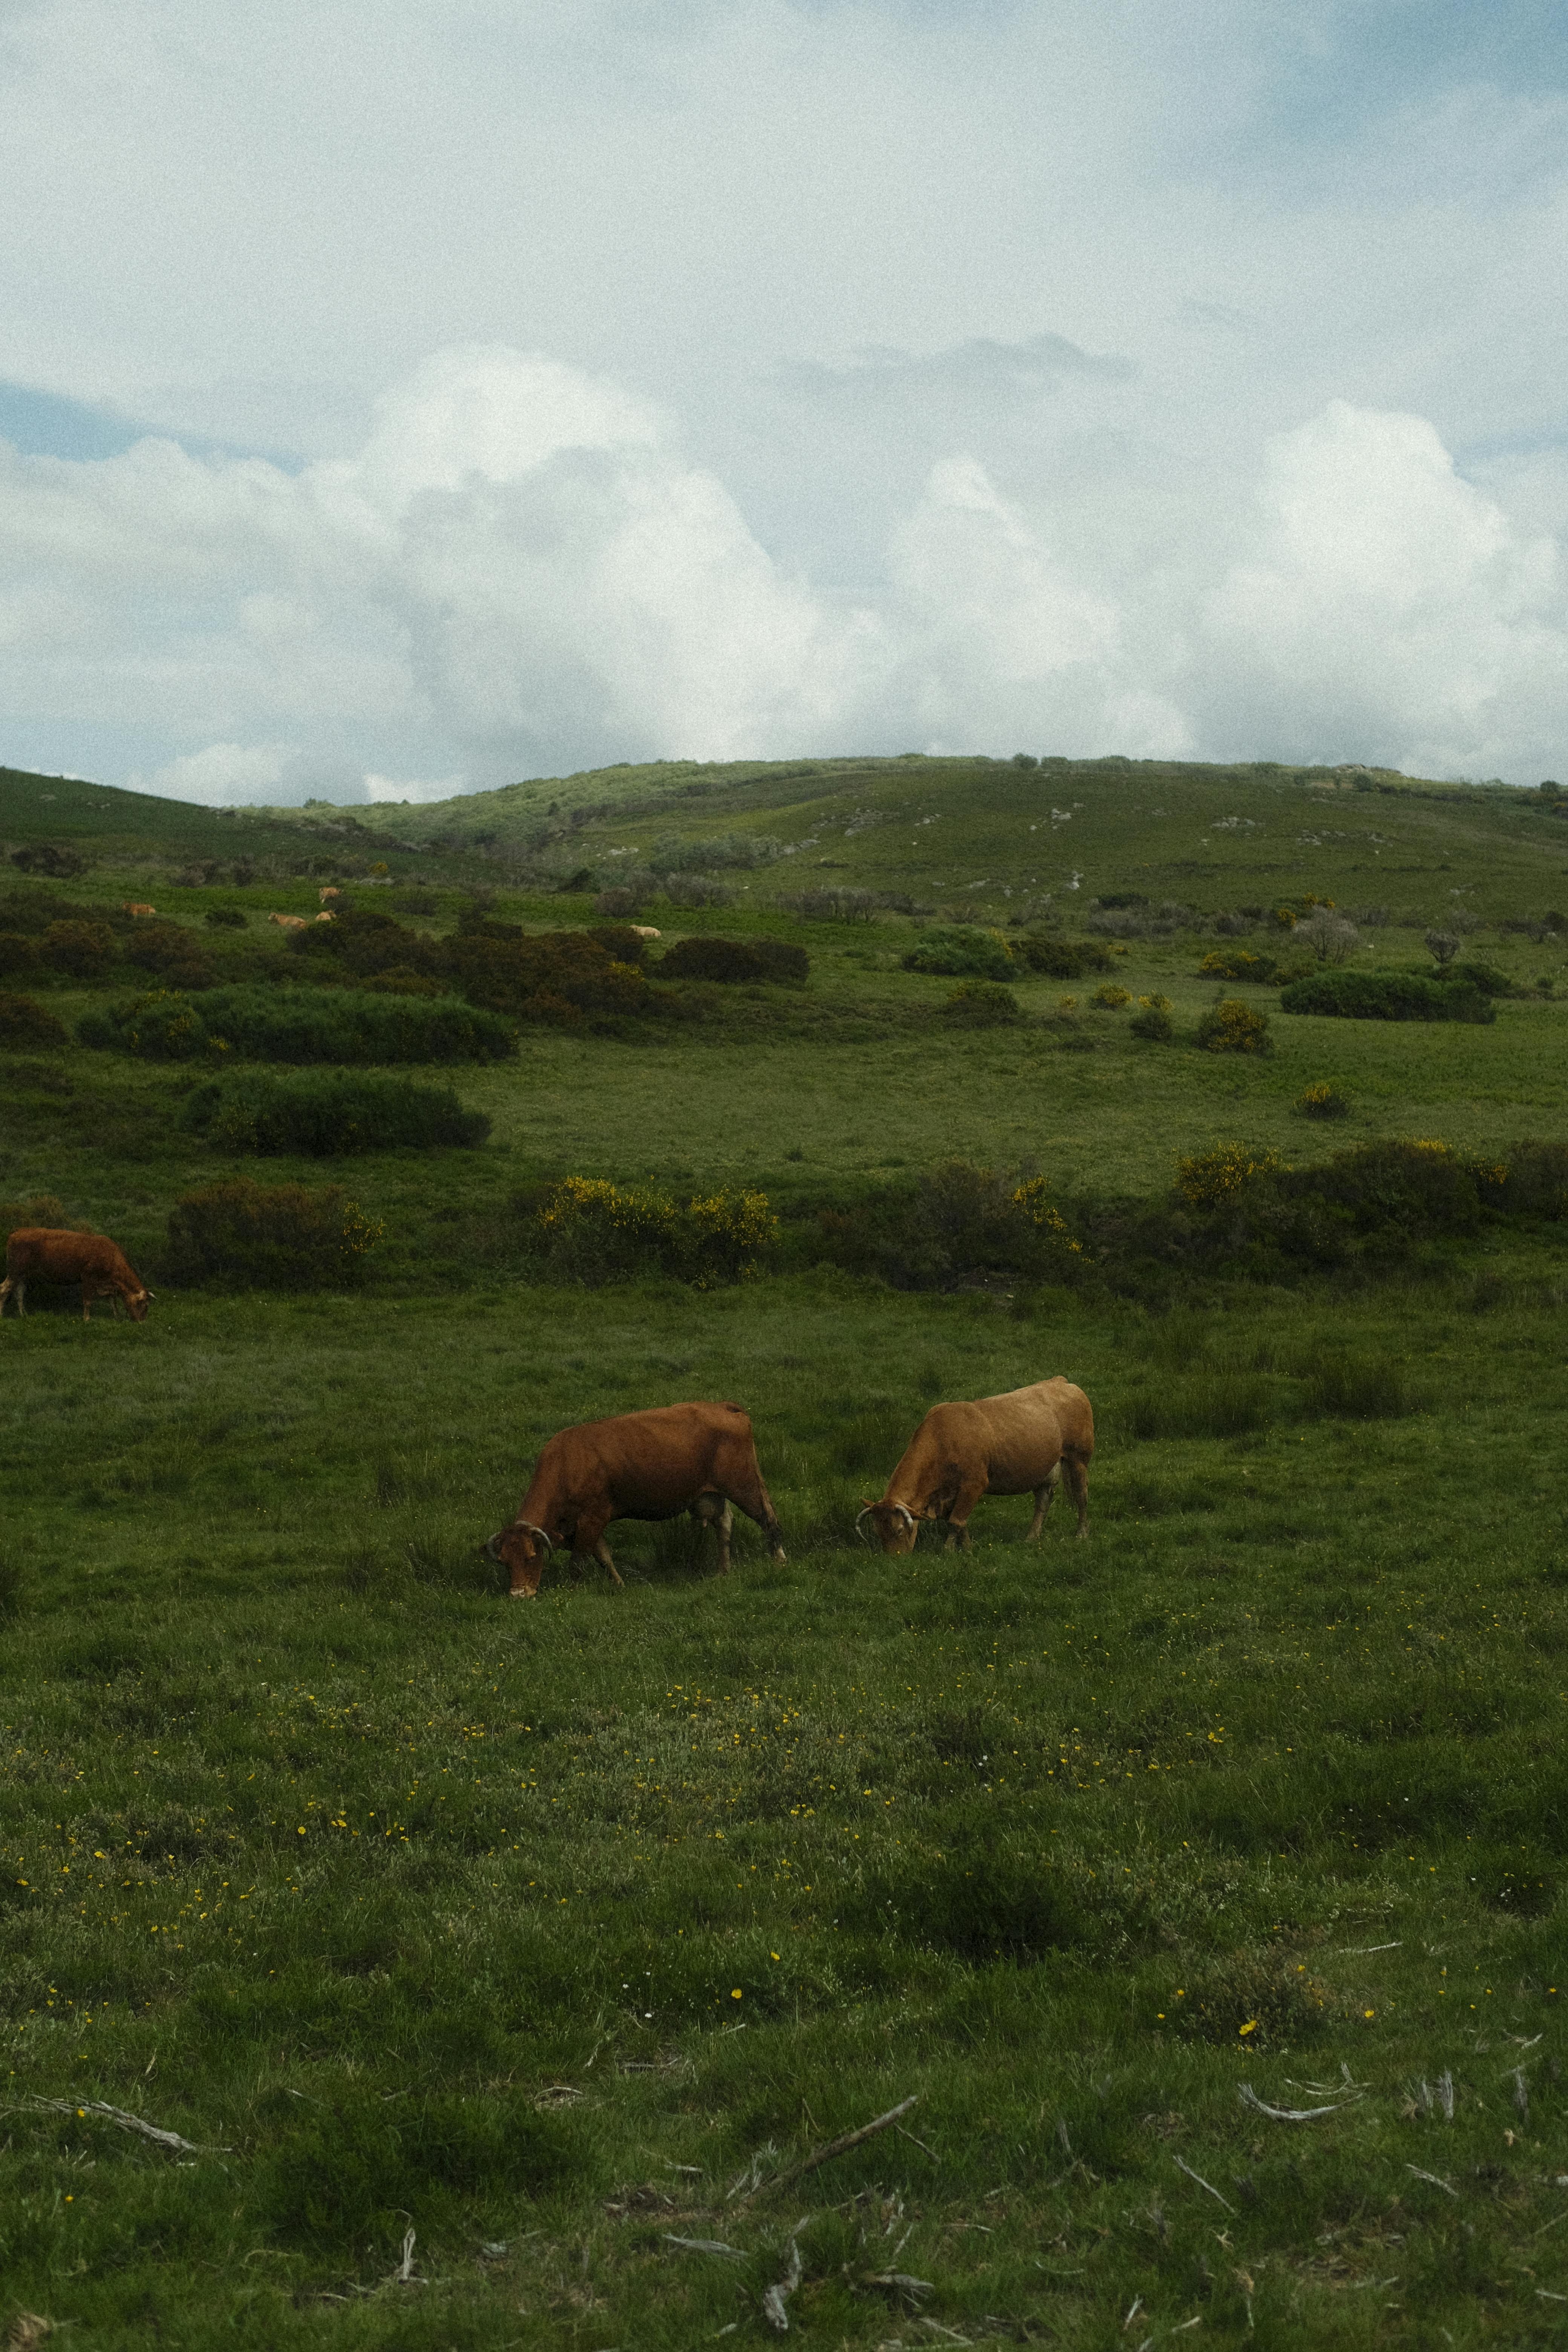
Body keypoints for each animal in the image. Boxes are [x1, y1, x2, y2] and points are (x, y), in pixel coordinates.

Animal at [0, 1228, 154, 1324]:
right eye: (144, 1305)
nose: (142, 1322)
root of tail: (18, 1232)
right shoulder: (88, 1278)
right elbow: (88, 1301)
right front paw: (86, 1319)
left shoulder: (107, 1284)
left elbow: (113, 1301)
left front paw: (117, 1317)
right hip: (15, 1271)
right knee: (4, 1289)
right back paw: (2, 1314)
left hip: (23, 1275)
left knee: (19, 1292)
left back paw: (23, 1315)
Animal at [485, 1401, 786, 1597]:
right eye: (505, 1563)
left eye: (532, 1557)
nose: (518, 1594)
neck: (568, 1464)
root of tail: (722, 1407)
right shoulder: (584, 1525)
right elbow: (604, 1556)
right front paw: (619, 1585)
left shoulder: (593, 1519)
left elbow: (579, 1561)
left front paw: (574, 1591)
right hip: (712, 1494)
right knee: (724, 1524)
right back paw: (722, 1571)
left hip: (744, 1486)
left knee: (767, 1520)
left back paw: (779, 1561)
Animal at [856, 1377, 1093, 1553]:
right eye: (877, 1532)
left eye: (898, 1531)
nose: (895, 1560)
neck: (943, 1438)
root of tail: (1061, 1382)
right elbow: (959, 1522)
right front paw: (967, 1548)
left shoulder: (975, 1483)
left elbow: (956, 1521)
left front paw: (948, 1551)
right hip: (1047, 1469)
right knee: (1043, 1501)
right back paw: (1031, 1537)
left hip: (1078, 1459)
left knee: (1081, 1496)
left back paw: (1081, 1534)